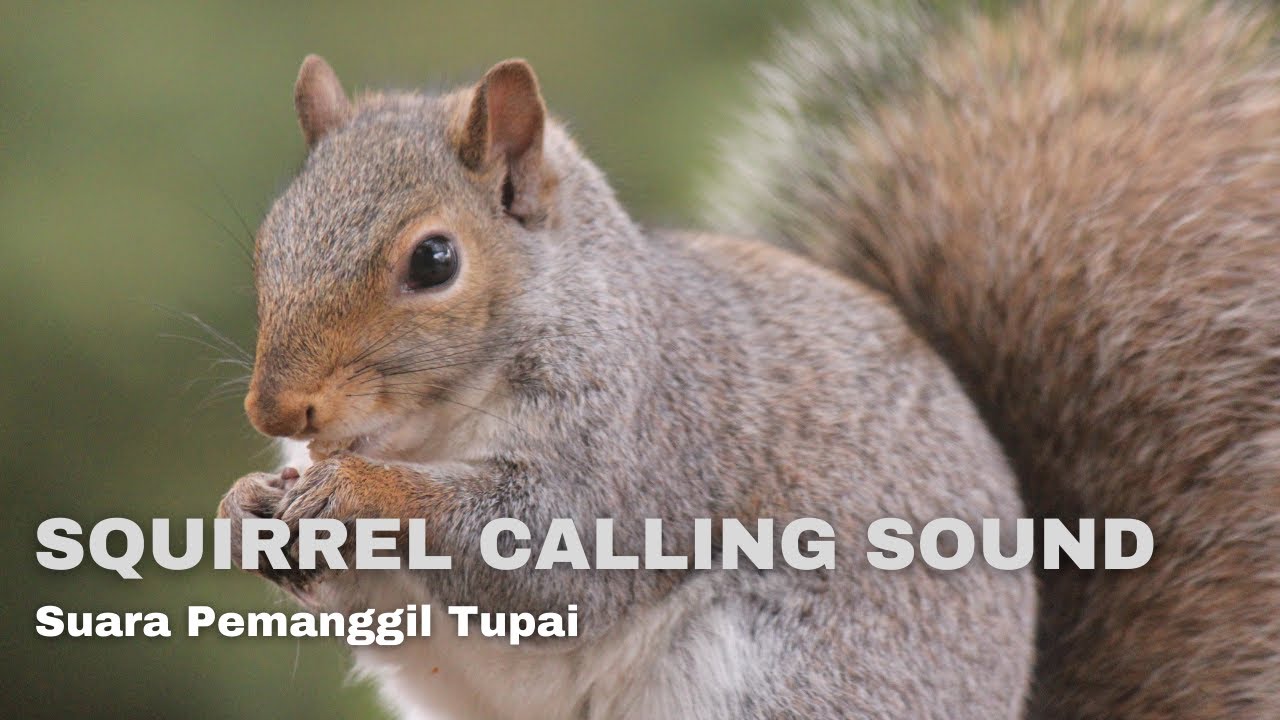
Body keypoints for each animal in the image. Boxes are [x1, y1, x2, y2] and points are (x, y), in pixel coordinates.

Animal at [217, 0, 1280, 718]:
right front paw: (245, 509)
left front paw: (365, 492)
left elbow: (549, 551)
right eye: (269, 237)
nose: (275, 413)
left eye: (434, 260)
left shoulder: (647, 444)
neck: (429, 425)